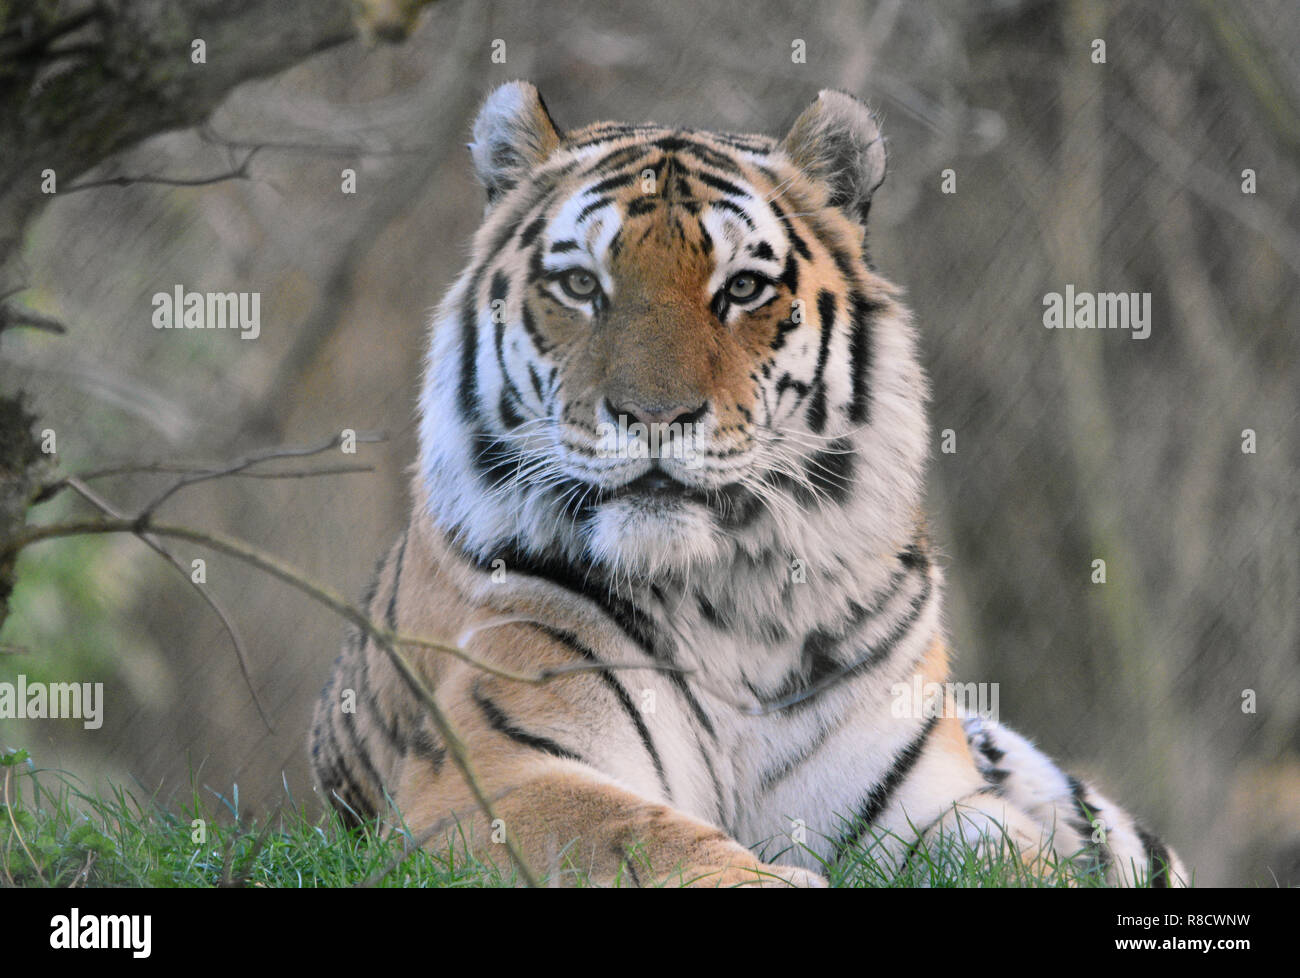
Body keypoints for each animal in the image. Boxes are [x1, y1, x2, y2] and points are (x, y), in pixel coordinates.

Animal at [309, 81, 1187, 888]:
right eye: (582, 285)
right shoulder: (490, 778)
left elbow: (1030, 865)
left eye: (741, 288)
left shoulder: (931, 802)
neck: (731, 603)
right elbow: (637, 835)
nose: (654, 416)